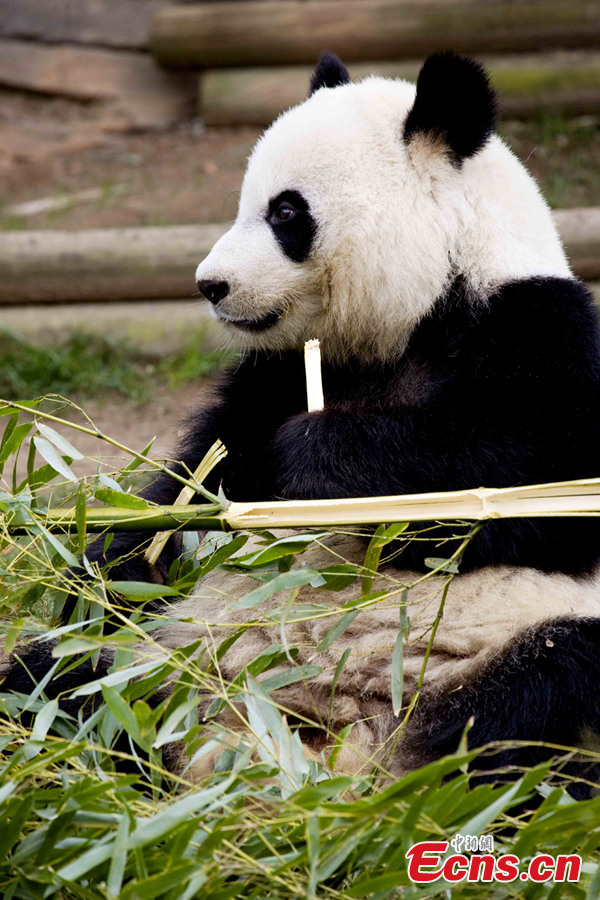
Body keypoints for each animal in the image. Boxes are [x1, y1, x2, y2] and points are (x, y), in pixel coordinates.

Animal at [5, 51, 600, 794]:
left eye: (286, 211)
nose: (210, 285)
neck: (413, 318)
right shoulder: (271, 377)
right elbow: (184, 497)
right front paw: (107, 556)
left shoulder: (538, 327)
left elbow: (535, 482)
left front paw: (321, 459)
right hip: (168, 651)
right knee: (68, 674)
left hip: (506, 649)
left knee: (544, 697)